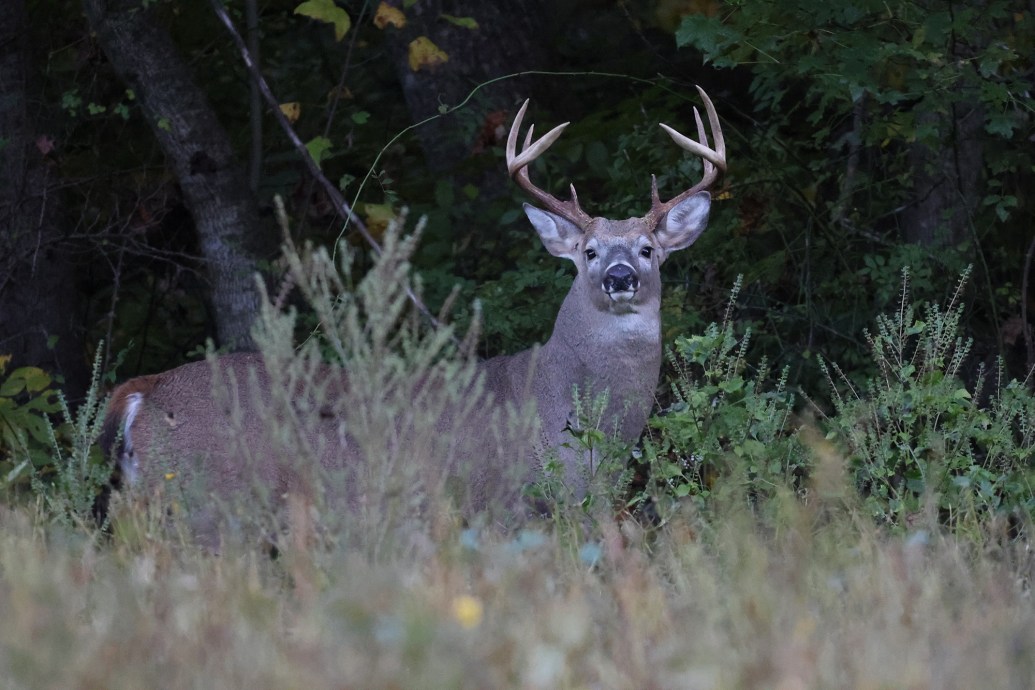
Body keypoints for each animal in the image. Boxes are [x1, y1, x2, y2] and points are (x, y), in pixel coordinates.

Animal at [99, 86, 725, 539]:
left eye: (648, 250)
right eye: (589, 252)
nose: (620, 277)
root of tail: (141, 392)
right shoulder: (507, 505)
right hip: (207, 503)